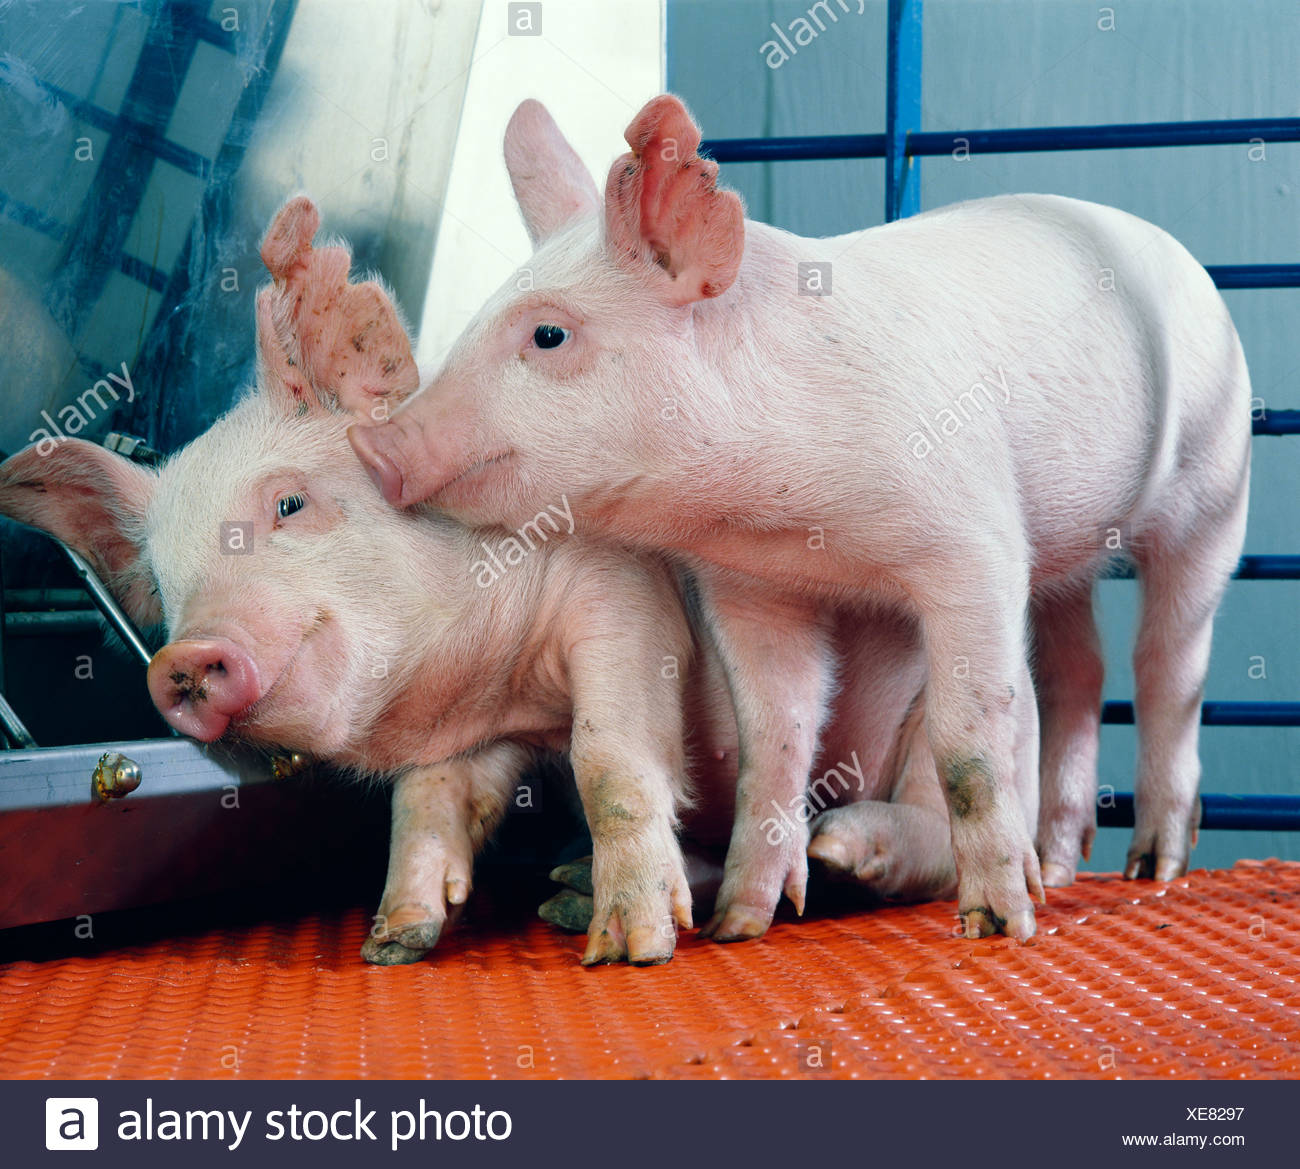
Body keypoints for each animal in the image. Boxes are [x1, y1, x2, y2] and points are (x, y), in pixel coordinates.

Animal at [0, 197, 981, 966]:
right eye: (165, 585)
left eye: (288, 502)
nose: (182, 659)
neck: (496, 676)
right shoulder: (472, 730)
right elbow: (426, 802)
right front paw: (394, 940)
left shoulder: (625, 601)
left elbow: (611, 758)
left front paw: (634, 945)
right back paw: (566, 889)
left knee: (947, 825)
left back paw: (841, 850)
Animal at [348, 95, 1251, 944]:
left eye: (548, 334)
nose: (374, 443)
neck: (791, 518)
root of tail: (1168, 249)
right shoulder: (752, 586)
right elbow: (773, 739)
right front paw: (740, 924)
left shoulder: (974, 546)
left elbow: (970, 747)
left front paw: (998, 924)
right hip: (1070, 557)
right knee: (1079, 671)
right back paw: (1056, 865)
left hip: (1215, 489)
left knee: (1169, 664)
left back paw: (1139, 866)